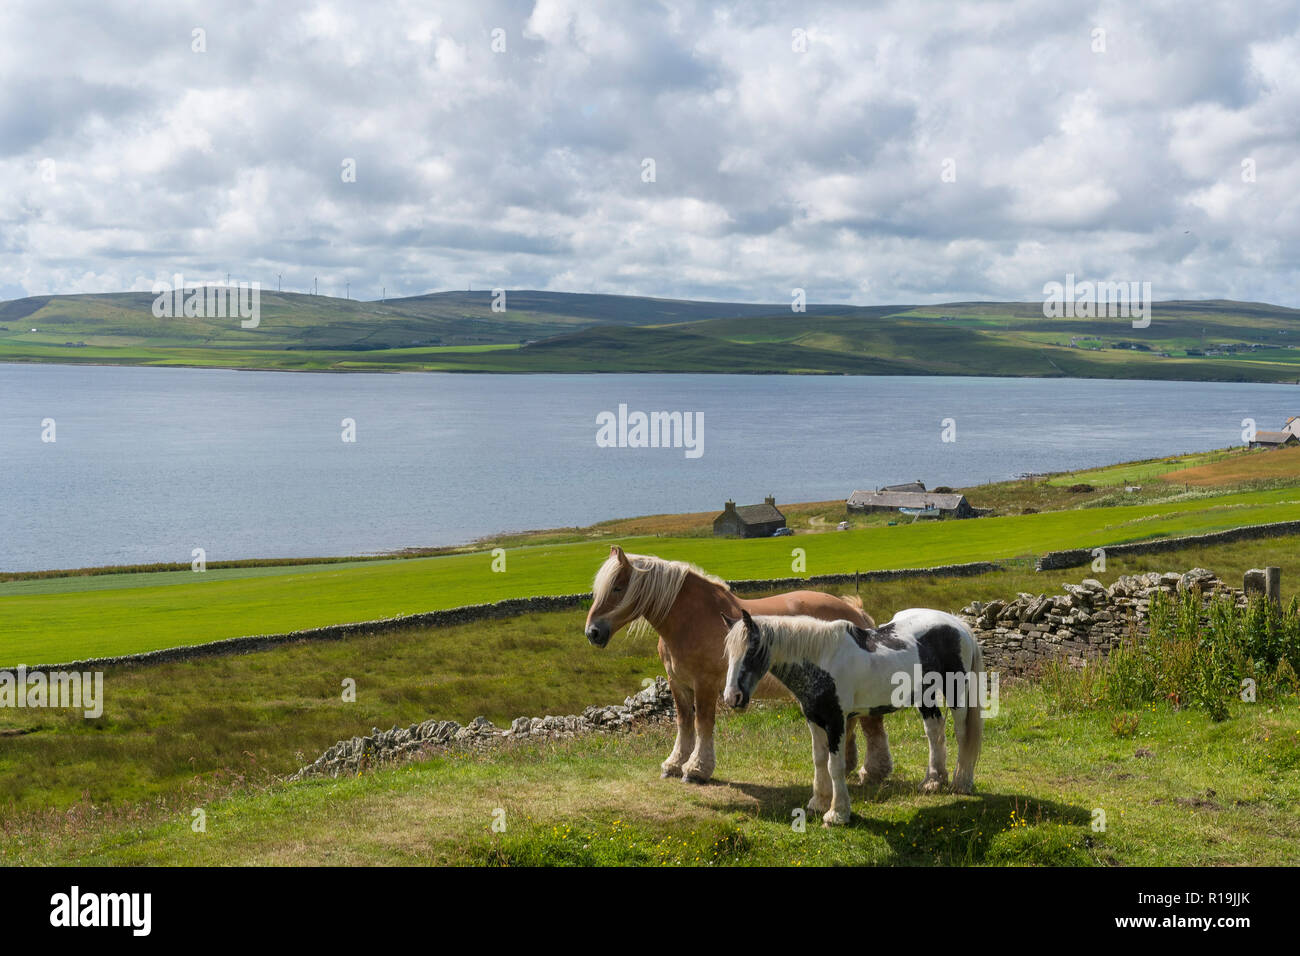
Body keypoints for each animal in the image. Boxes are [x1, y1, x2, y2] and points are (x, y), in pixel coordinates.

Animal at [584, 545, 890, 784]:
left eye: (617, 588)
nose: (592, 633)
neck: (691, 619)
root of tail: (856, 613)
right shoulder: (678, 684)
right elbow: (684, 723)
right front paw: (674, 764)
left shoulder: (705, 684)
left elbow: (703, 723)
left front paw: (696, 769)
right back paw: (849, 766)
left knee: (871, 724)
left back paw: (872, 772)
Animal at [723, 608, 985, 826]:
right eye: (728, 654)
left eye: (752, 650)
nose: (732, 697)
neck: (820, 660)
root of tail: (957, 623)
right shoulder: (814, 719)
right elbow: (819, 760)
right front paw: (819, 802)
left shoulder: (836, 721)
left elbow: (835, 766)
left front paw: (837, 813)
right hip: (925, 695)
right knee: (934, 731)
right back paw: (933, 781)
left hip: (956, 692)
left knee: (962, 734)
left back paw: (961, 783)